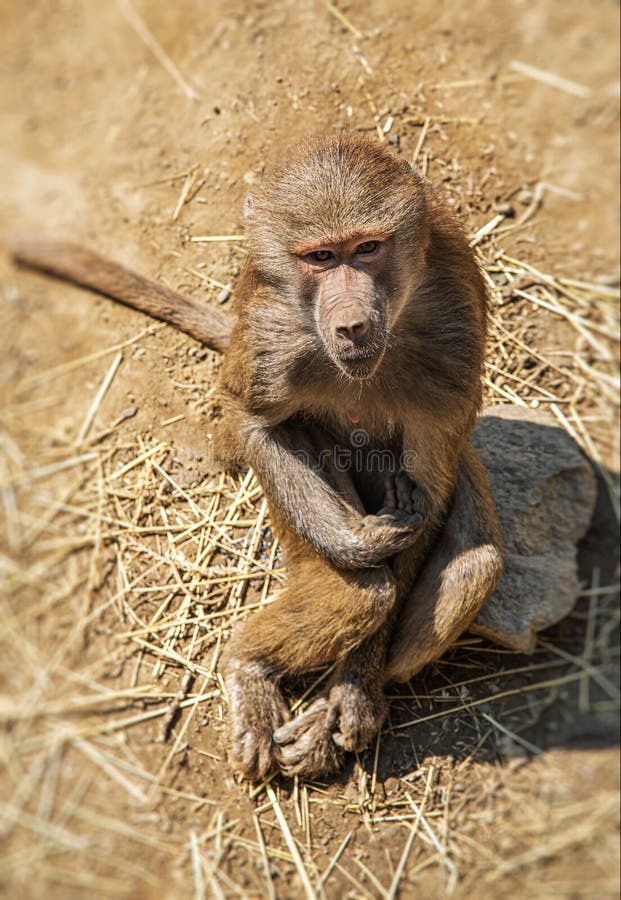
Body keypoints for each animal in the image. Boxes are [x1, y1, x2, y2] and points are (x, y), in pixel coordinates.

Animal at [7, 132, 504, 782]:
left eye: (368, 249)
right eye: (320, 257)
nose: (351, 325)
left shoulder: (453, 332)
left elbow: (431, 482)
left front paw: (353, 697)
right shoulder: (272, 333)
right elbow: (256, 424)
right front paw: (358, 545)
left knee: (474, 567)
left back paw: (346, 696)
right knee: (361, 591)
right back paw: (250, 663)